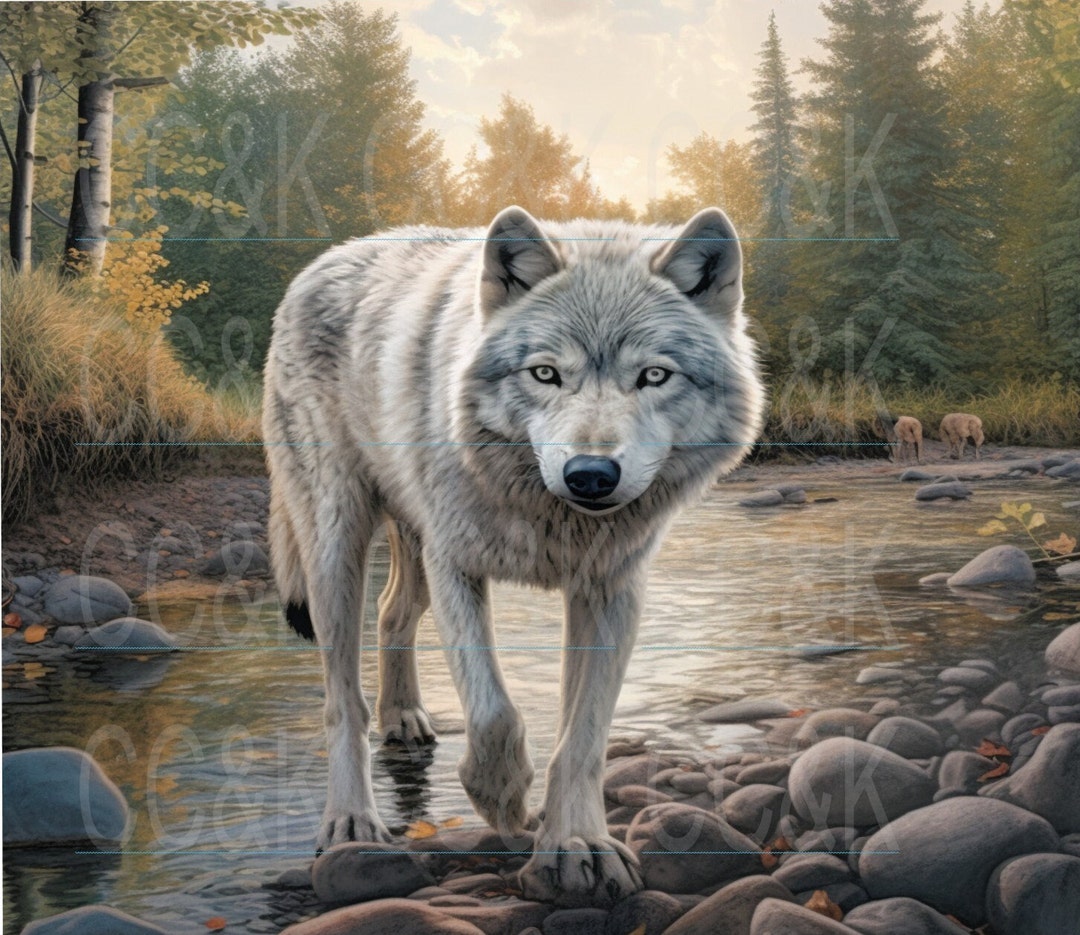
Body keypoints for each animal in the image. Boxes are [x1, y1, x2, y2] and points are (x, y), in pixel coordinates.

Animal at [262, 205, 765, 907]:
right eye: (546, 373)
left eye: (654, 375)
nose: (590, 475)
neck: (550, 518)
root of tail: (325, 259)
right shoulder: (456, 566)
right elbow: (495, 711)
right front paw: (501, 801)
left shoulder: (611, 591)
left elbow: (583, 737)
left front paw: (579, 848)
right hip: (338, 547)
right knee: (341, 698)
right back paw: (352, 821)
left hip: (410, 550)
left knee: (392, 613)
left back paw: (404, 718)